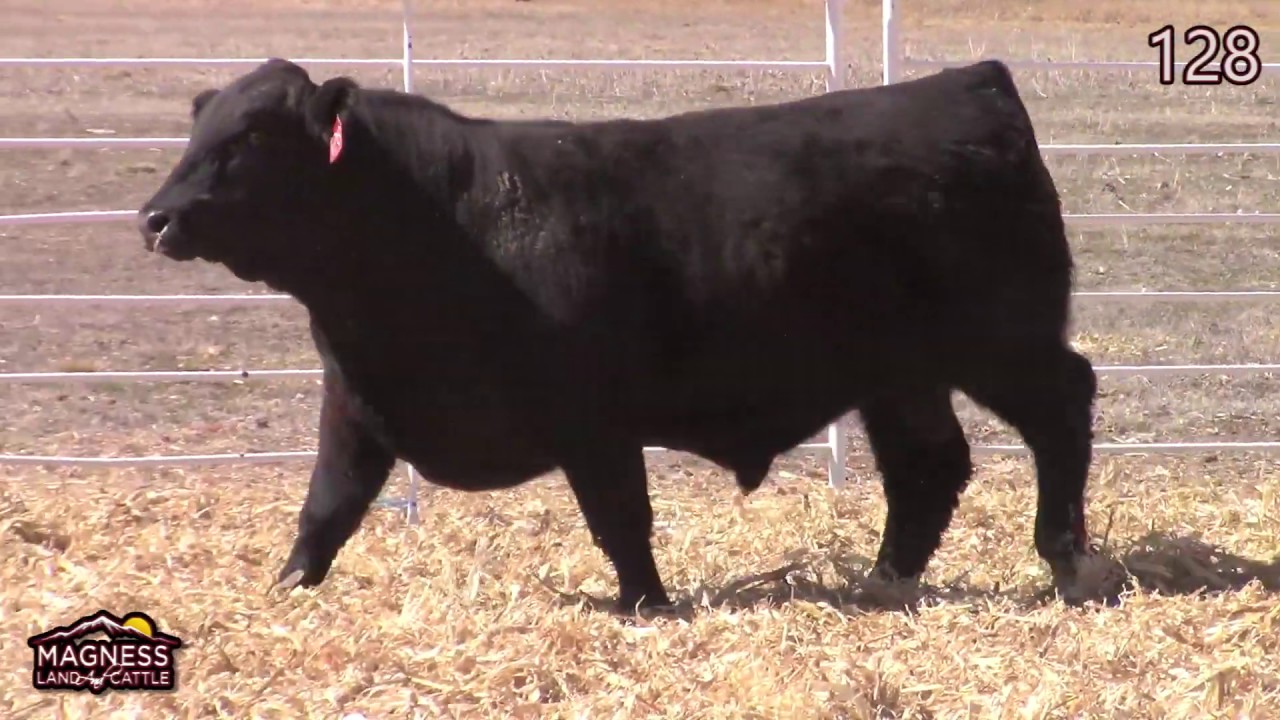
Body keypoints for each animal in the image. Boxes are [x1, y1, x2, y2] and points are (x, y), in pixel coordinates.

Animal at [135, 57, 1100, 611]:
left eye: (252, 135)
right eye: (199, 128)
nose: (156, 217)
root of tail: (970, 84)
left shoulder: (592, 419)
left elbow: (621, 517)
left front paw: (646, 604)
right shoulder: (358, 407)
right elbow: (326, 510)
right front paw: (285, 591)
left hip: (1002, 343)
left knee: (1063, 407)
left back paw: (1065, 561)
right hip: (898, 373)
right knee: (928, 467)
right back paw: (885, 582)